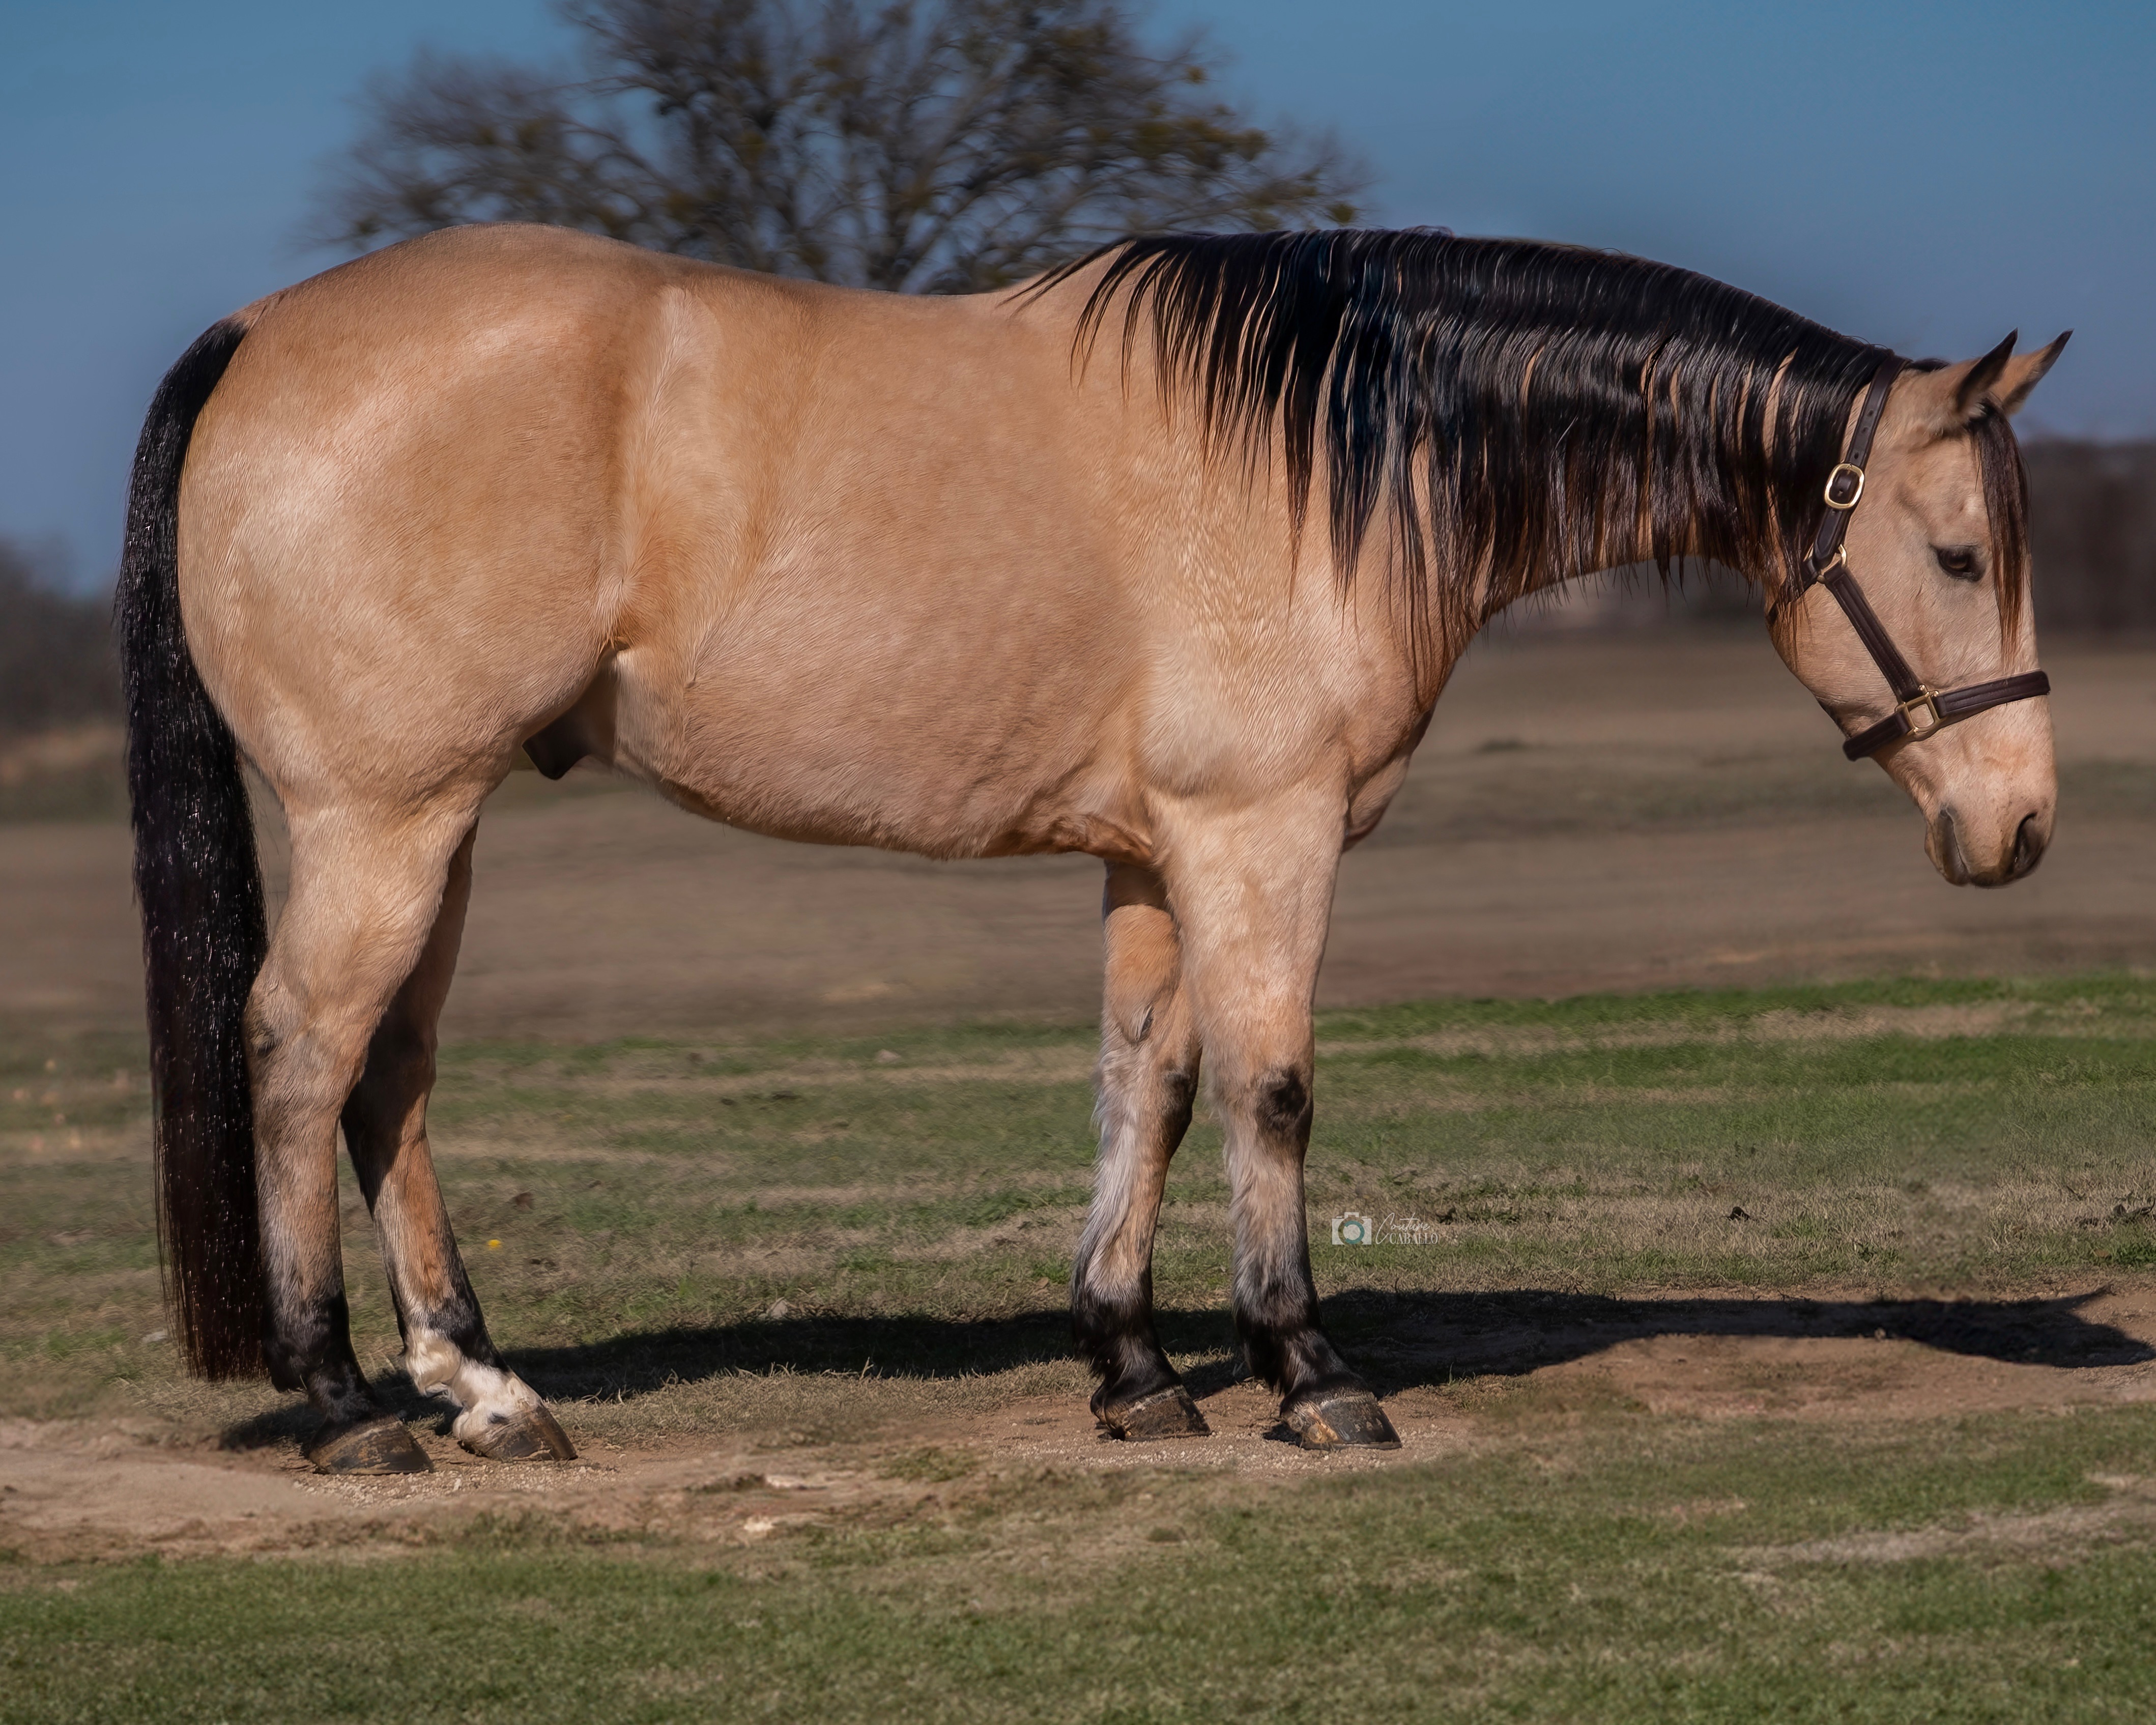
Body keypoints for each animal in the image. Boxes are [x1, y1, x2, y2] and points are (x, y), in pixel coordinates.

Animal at [118, 222, 2066, 1472]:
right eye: (1957, 554)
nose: (2023, 823)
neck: (1332, 457)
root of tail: (262, 328)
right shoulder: (1262, 838)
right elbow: (1273, 1088)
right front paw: (1304, 1371)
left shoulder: (1157, 857)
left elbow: (1150, 1085)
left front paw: (1131, 1367)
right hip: (380, 823)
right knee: (300, 1053)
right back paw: (350, 1410)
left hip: (436, 829)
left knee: (391, 1080)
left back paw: (486, 1391)